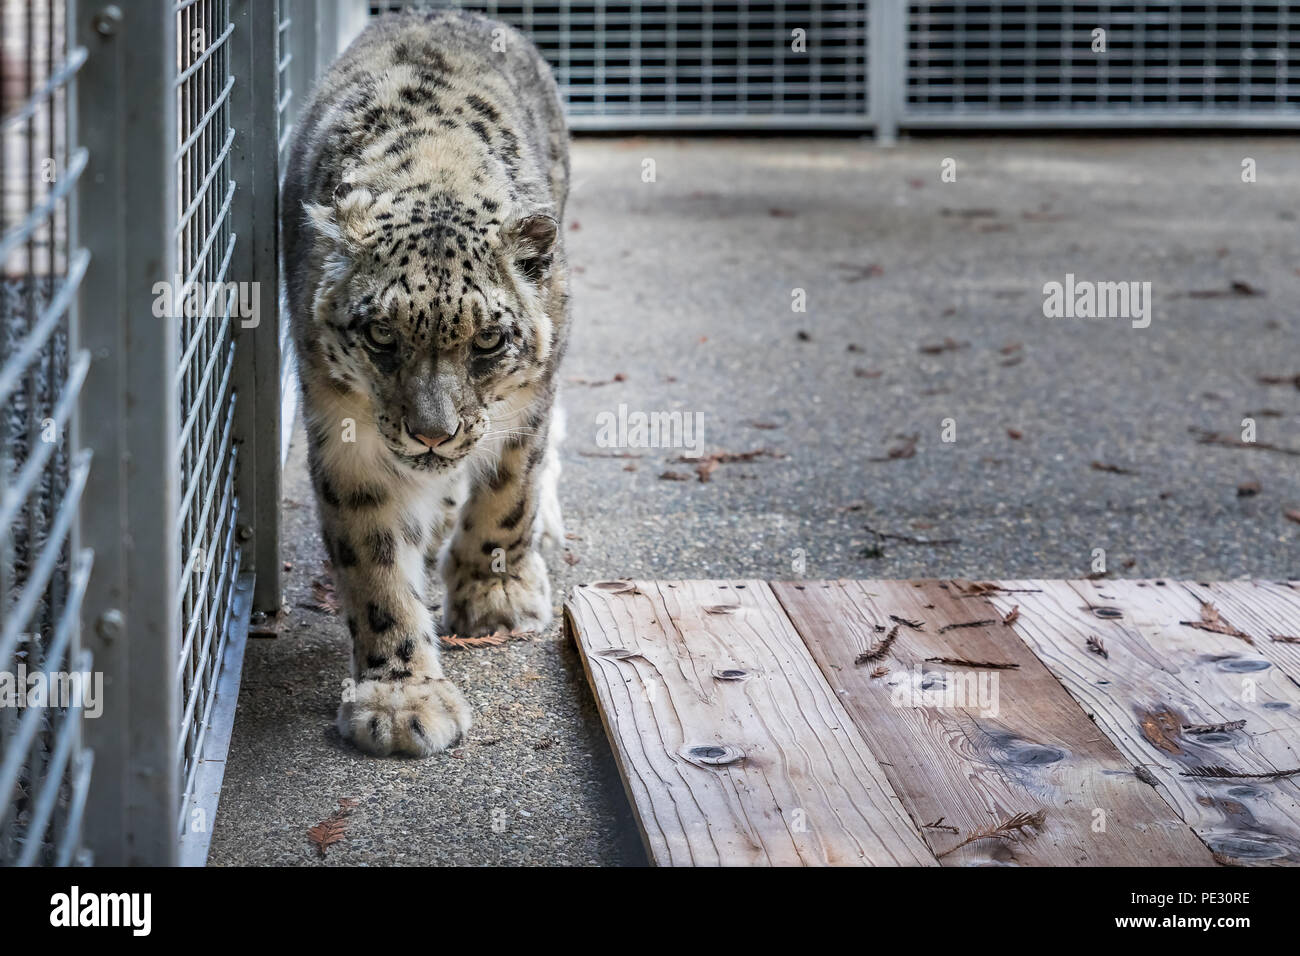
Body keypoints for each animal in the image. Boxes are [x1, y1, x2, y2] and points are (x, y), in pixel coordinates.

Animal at [281, 9, 571, 757]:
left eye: (489, 339)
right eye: (383, 336)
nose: (433, 435)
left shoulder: (528, 401)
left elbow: (509, 493)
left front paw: (497, 596)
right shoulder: (345, 434)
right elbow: (374, 562)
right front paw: (400, 700)